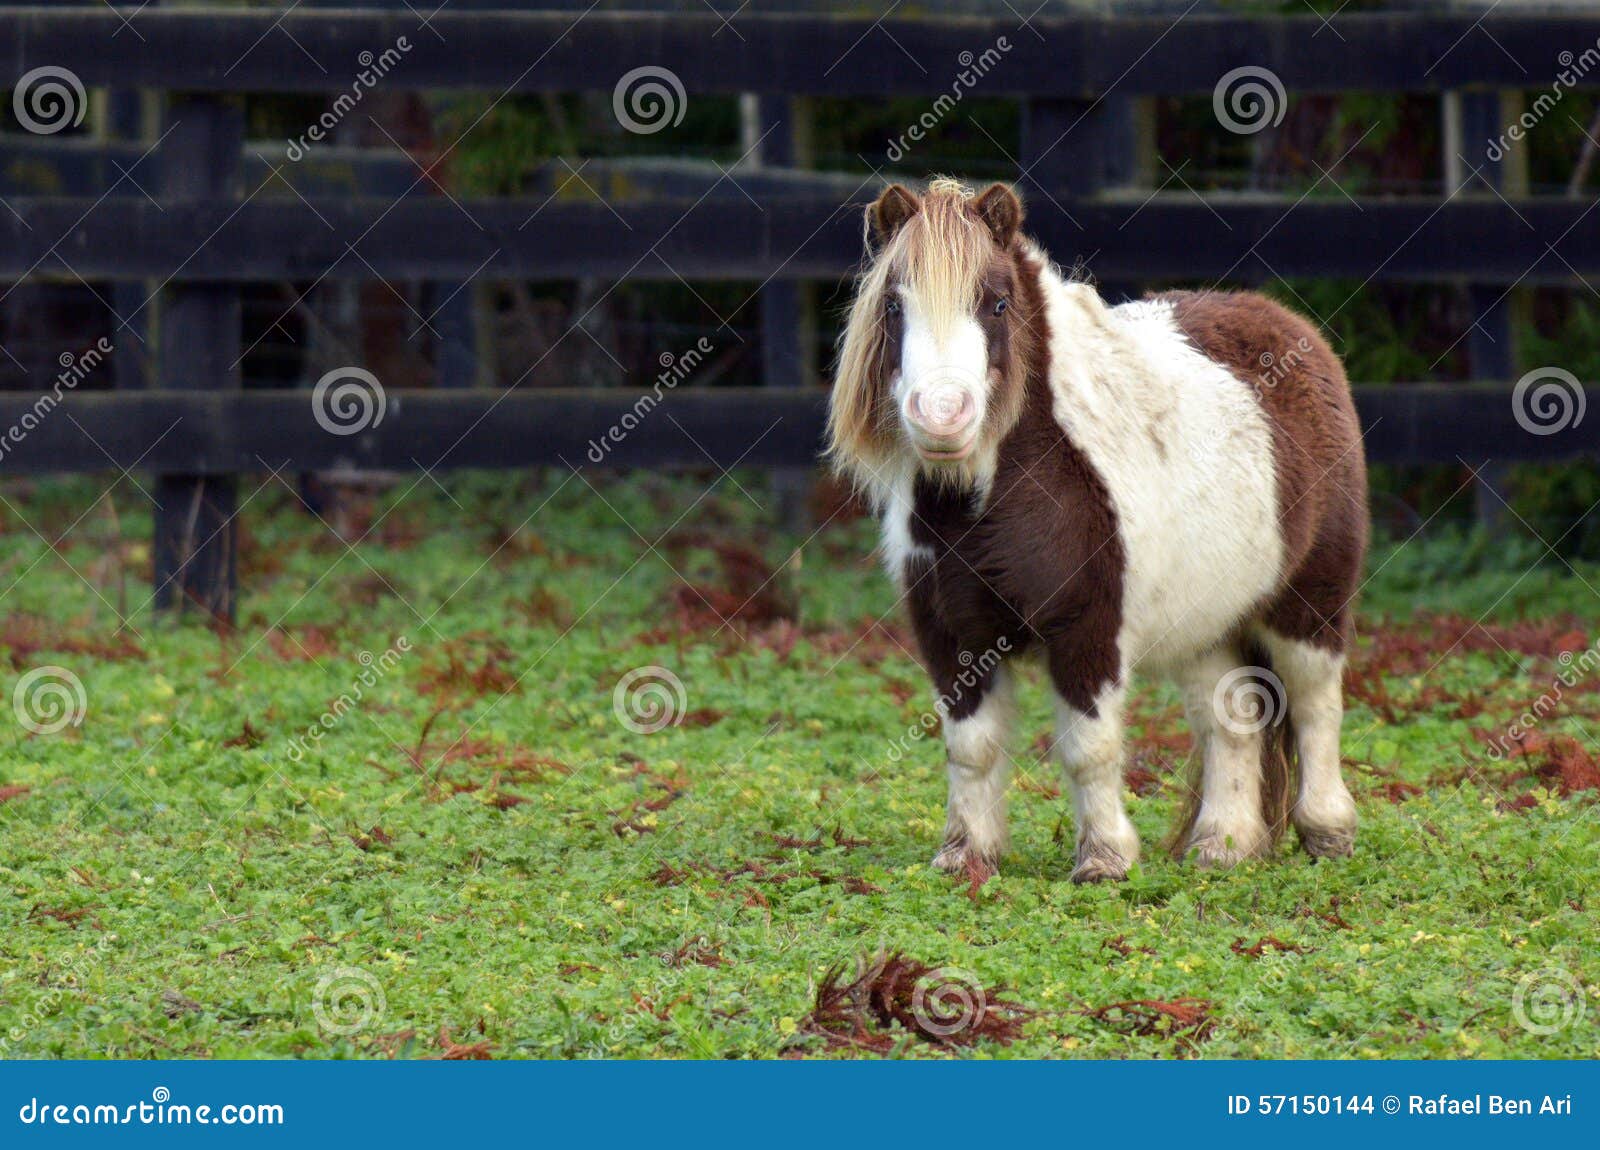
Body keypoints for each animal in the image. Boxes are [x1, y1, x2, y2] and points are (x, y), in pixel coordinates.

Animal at [828, 179, 1368, 883]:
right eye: (894, 306)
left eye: (997, 302)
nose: (943, 417)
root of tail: (1292, 329)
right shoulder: (954, 636)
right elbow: (971, 748)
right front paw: (966, 855)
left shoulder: (1089, 630)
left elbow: (1089, 746)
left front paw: (1104, 860)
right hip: (1208, 625)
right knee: (1230, 719)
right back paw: (1222, 845)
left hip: (1310, 604)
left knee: (1313, 702)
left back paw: (1327, 831)